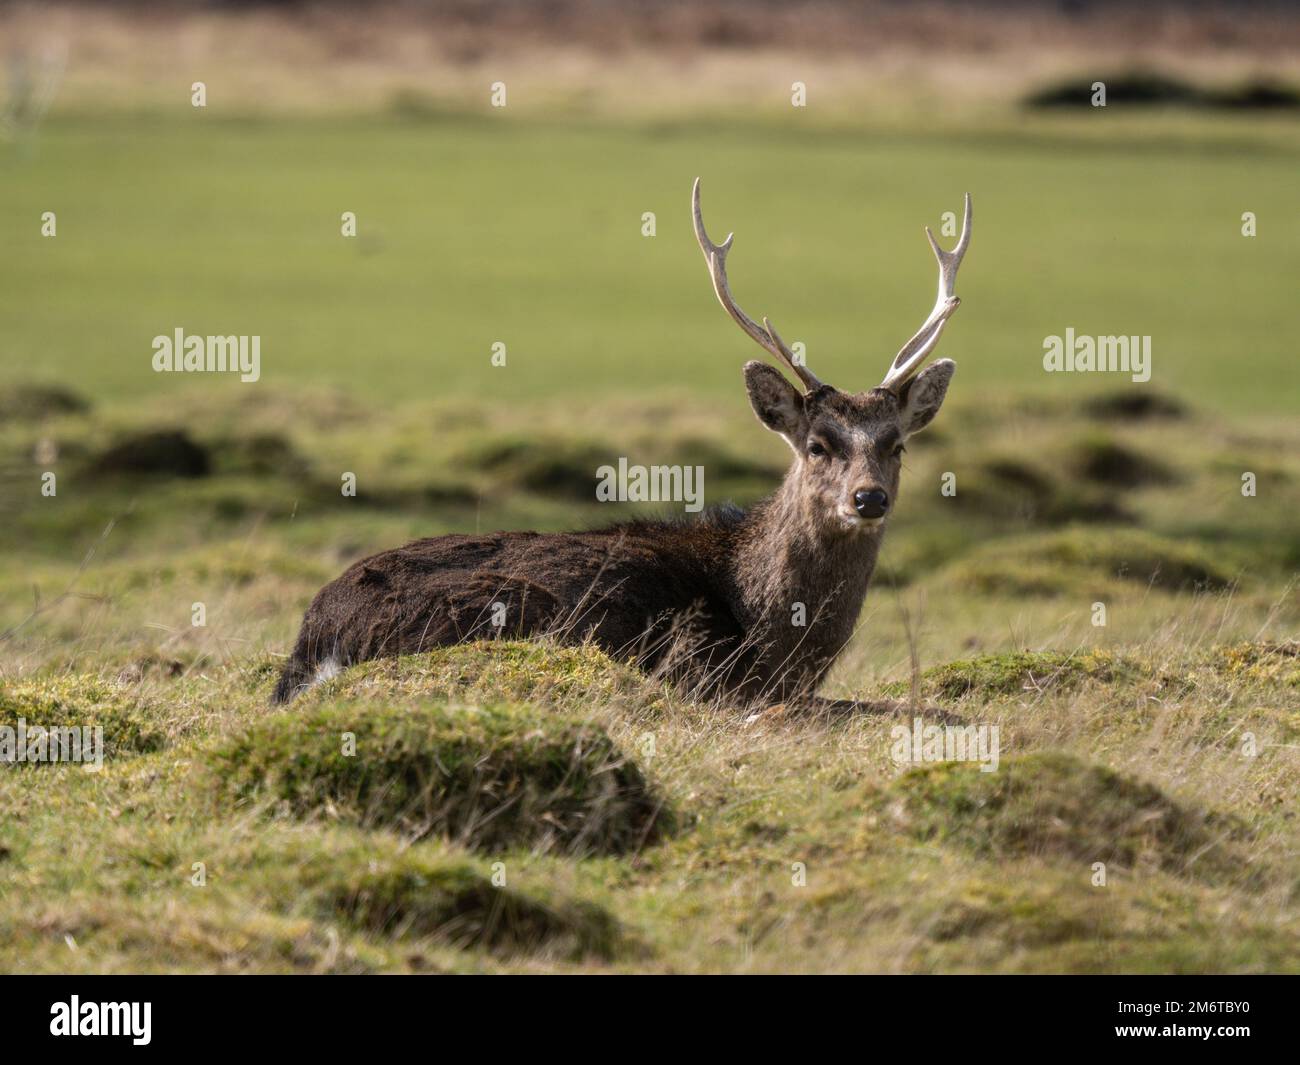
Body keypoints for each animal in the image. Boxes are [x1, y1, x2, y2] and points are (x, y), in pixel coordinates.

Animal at [273, 179, 971, 707]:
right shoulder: (707, 671)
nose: (869, 499)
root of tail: (314, 640)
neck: (769, 629)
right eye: (818, 444)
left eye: (897, 444)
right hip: (513, 611)